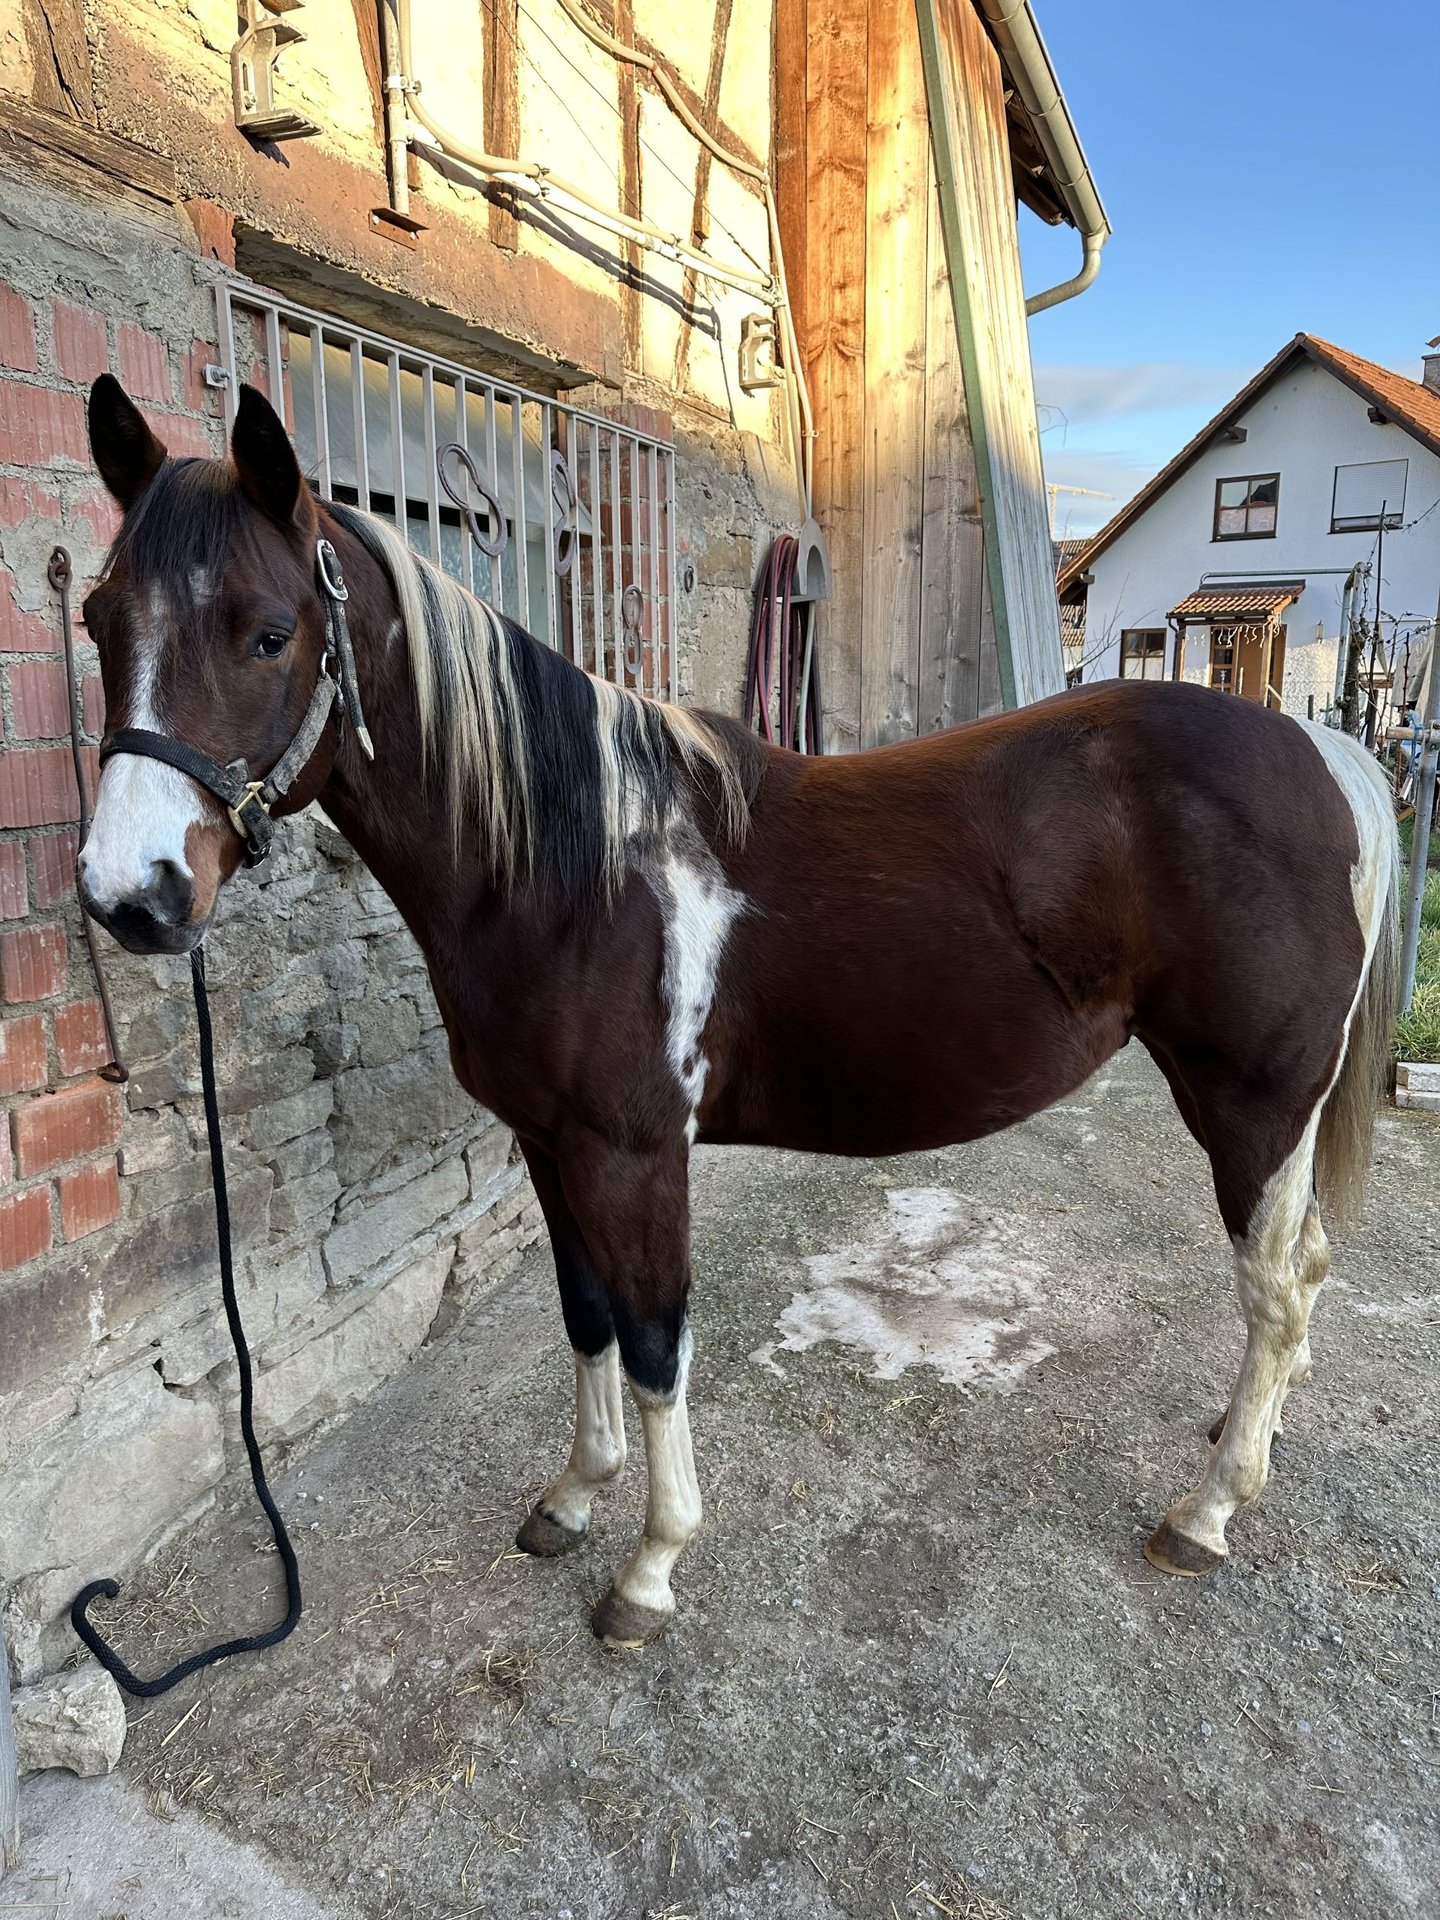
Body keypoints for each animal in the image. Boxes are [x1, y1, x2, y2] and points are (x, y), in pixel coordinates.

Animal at [76, 374, 1399, 1647]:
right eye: (98, 619)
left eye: (268, 634)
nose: (129, 894)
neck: (575, 868)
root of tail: (1328, 755)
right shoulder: (549, 1145)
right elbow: (587, 1319)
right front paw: (574, 1497)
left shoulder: (636, 1154)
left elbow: (658, 1343)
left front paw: (651, 1568)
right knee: (1305, 1275)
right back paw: (1239, 1439)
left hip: (1254, 1106)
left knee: (1276, 1292)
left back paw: (1208, 1511)